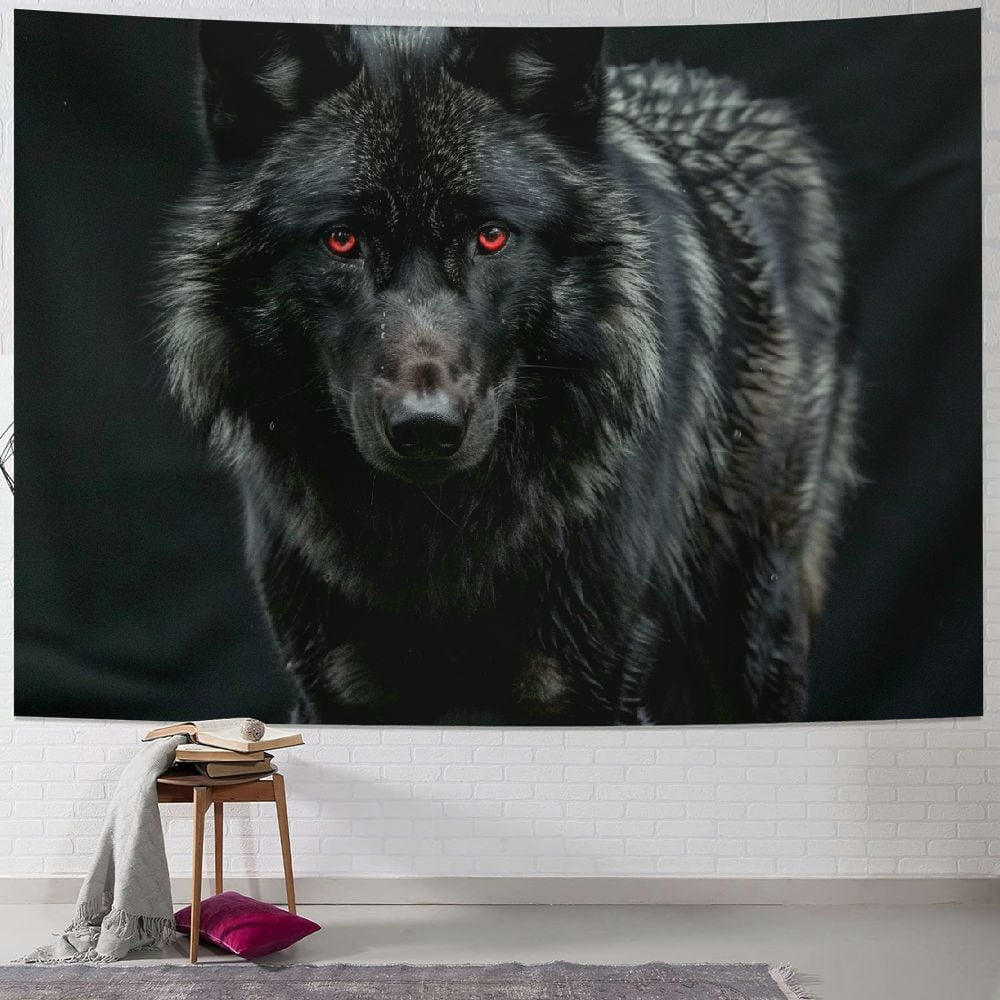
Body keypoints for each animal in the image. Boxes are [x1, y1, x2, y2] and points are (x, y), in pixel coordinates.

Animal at [161, 24, 856, 725]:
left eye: (491, 236)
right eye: (341, 240)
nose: (426, 428)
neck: (434, 534)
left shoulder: (592, 694)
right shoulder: (335, 696)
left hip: (754, 636)